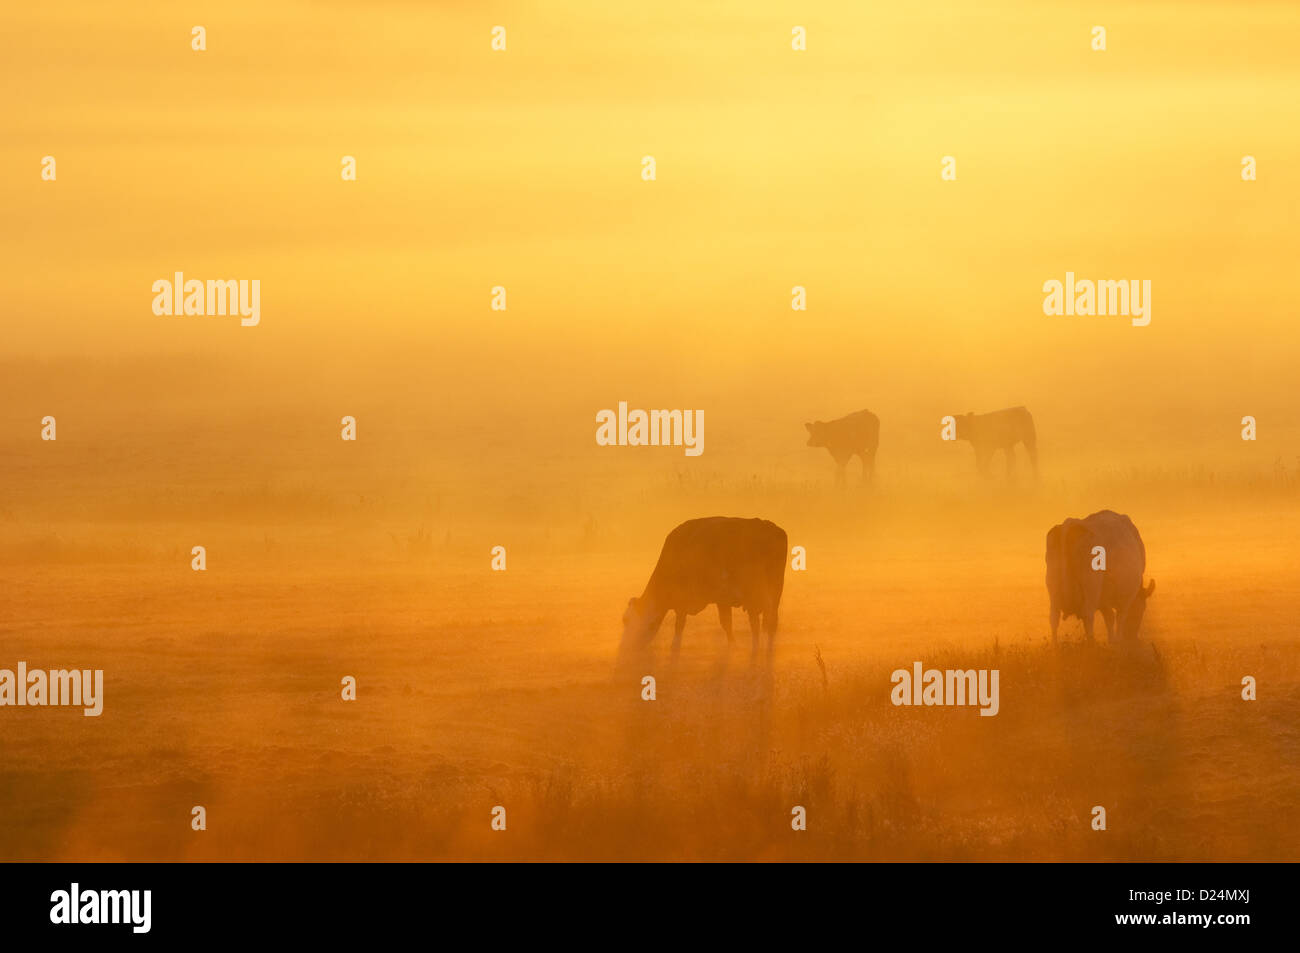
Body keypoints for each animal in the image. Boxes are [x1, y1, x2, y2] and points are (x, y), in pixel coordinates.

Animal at [620, 517, 787, 661]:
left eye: (626, 620)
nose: (626, 649)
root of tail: (768, 527)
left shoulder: (685, 598)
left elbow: (680, 624)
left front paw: (674, 647)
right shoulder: (722, 600)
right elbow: (726, 623)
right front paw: (733, 646)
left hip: (754, 593)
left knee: (757, 624)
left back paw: (756, 651)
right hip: (775, 592)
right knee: (770, 623)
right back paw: (768, 651)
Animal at [1045, 509, 1155, 642]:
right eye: (1142, 610)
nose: (1132, 637)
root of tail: (1072, 523)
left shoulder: (1104, 600)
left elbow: (1110, 618)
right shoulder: (1123, 599)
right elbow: (1118, 618)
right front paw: (1117, 640)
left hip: (1053, 587)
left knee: (1053, 618)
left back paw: (1055, 644)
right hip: (1091, 587)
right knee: (1088, 615)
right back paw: (1091, 642)